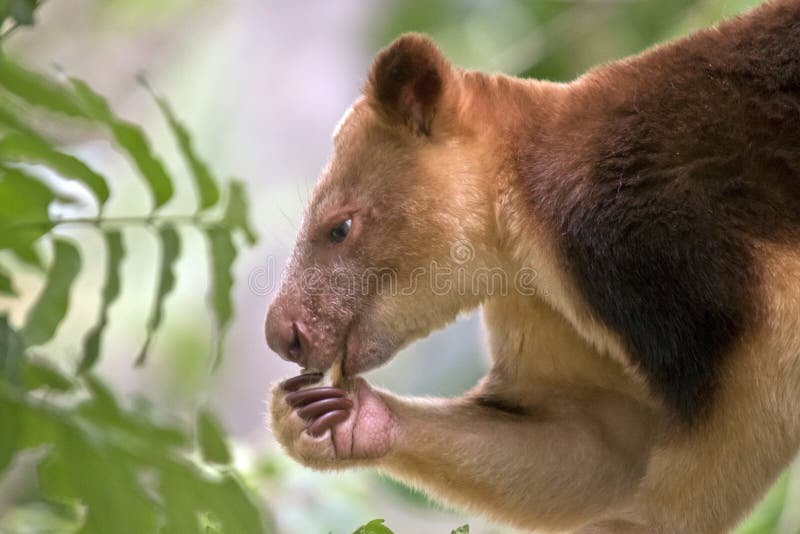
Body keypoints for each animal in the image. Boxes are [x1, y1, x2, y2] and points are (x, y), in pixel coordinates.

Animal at [266, 1, 800, 531]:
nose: (283, 334)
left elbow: (756, 381)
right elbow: (598, 435)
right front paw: (328, 417)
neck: (521, 195)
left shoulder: (643, 238)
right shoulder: (539, 297)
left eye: (340, 227)